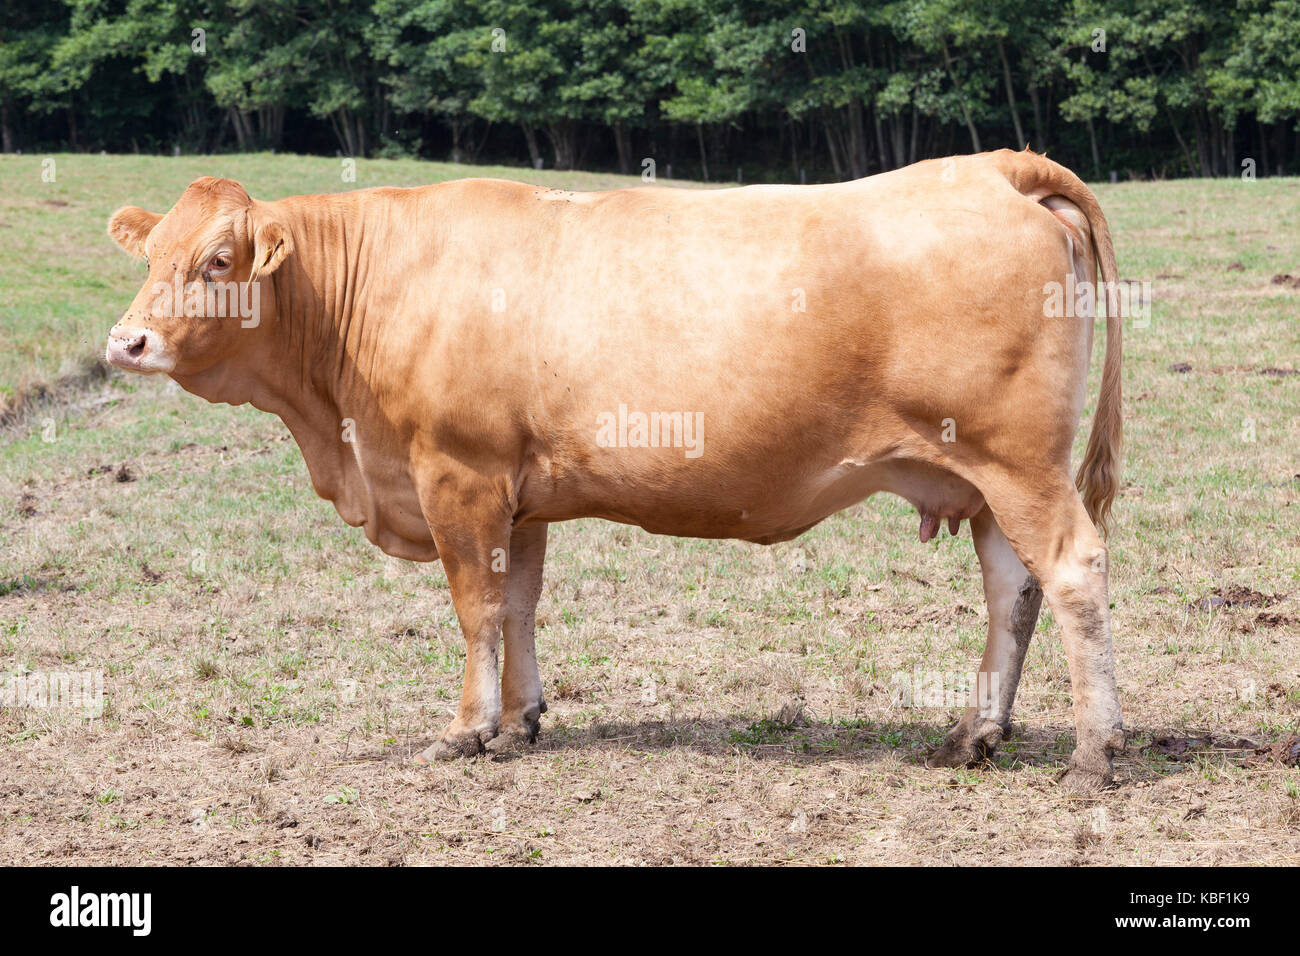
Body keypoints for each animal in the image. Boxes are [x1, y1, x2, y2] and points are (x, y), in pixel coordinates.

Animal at [105, 148, 1126, 790]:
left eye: (220, 258)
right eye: (151, 255)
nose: (127, 342)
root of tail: (996, 165)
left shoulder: (458, 475)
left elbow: (476, 608)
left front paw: (464, 731)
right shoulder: (519, 497)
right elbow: (518, 605)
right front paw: (520, 722)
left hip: (1019, 465)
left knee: (1072, 571)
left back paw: (1094, 755)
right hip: (985, 480)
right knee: (1011, 591)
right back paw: (973, 735)